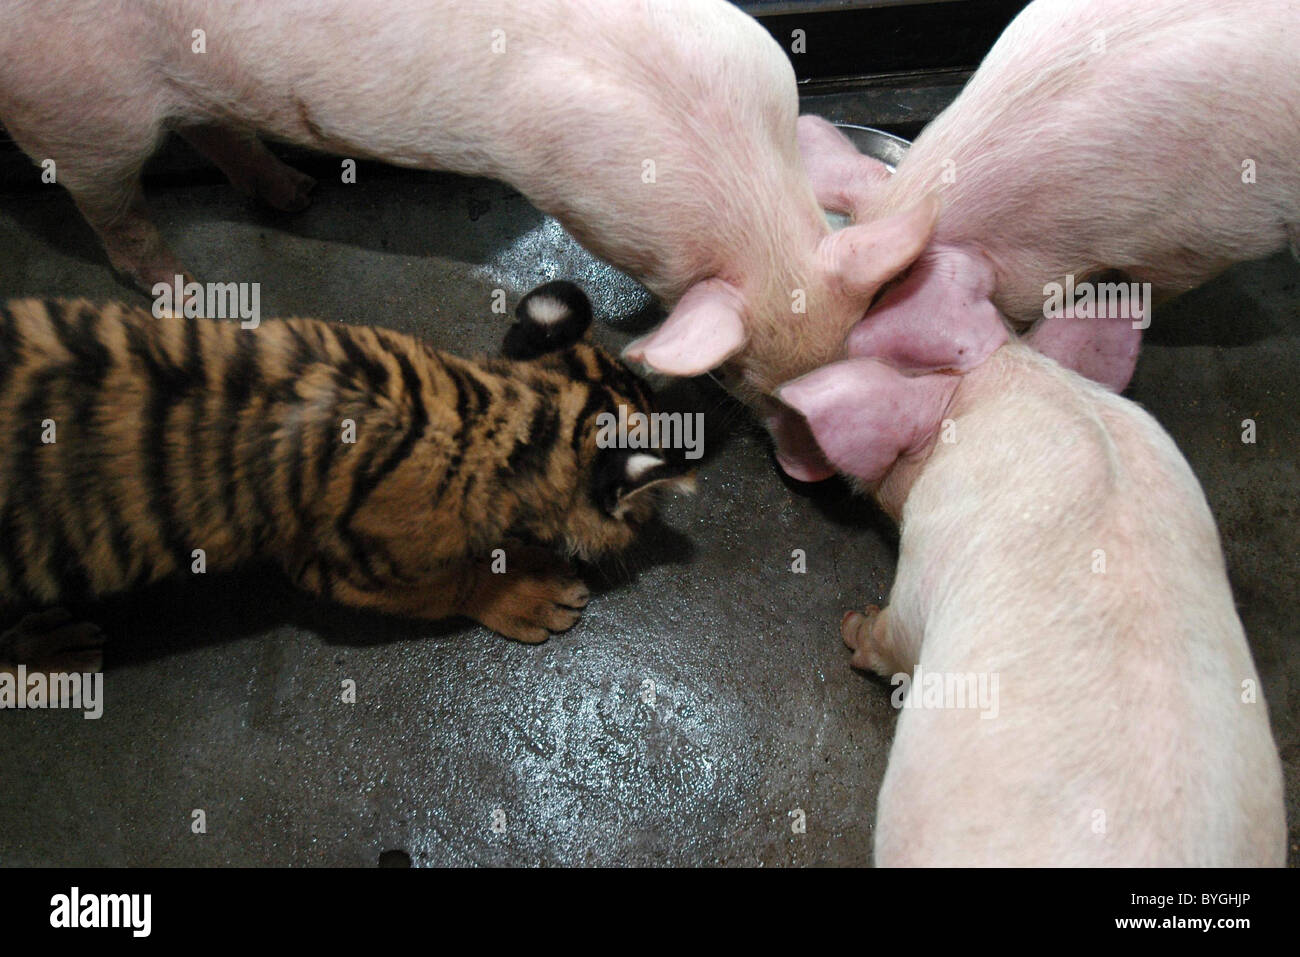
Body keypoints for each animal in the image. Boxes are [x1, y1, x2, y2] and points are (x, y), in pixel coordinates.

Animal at [0, 0, 937, 479]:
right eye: (747, 382)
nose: (816, 472)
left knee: (208, 131)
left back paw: (297, 197)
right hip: (82, 114)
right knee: (112, 209)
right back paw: (187, 290)